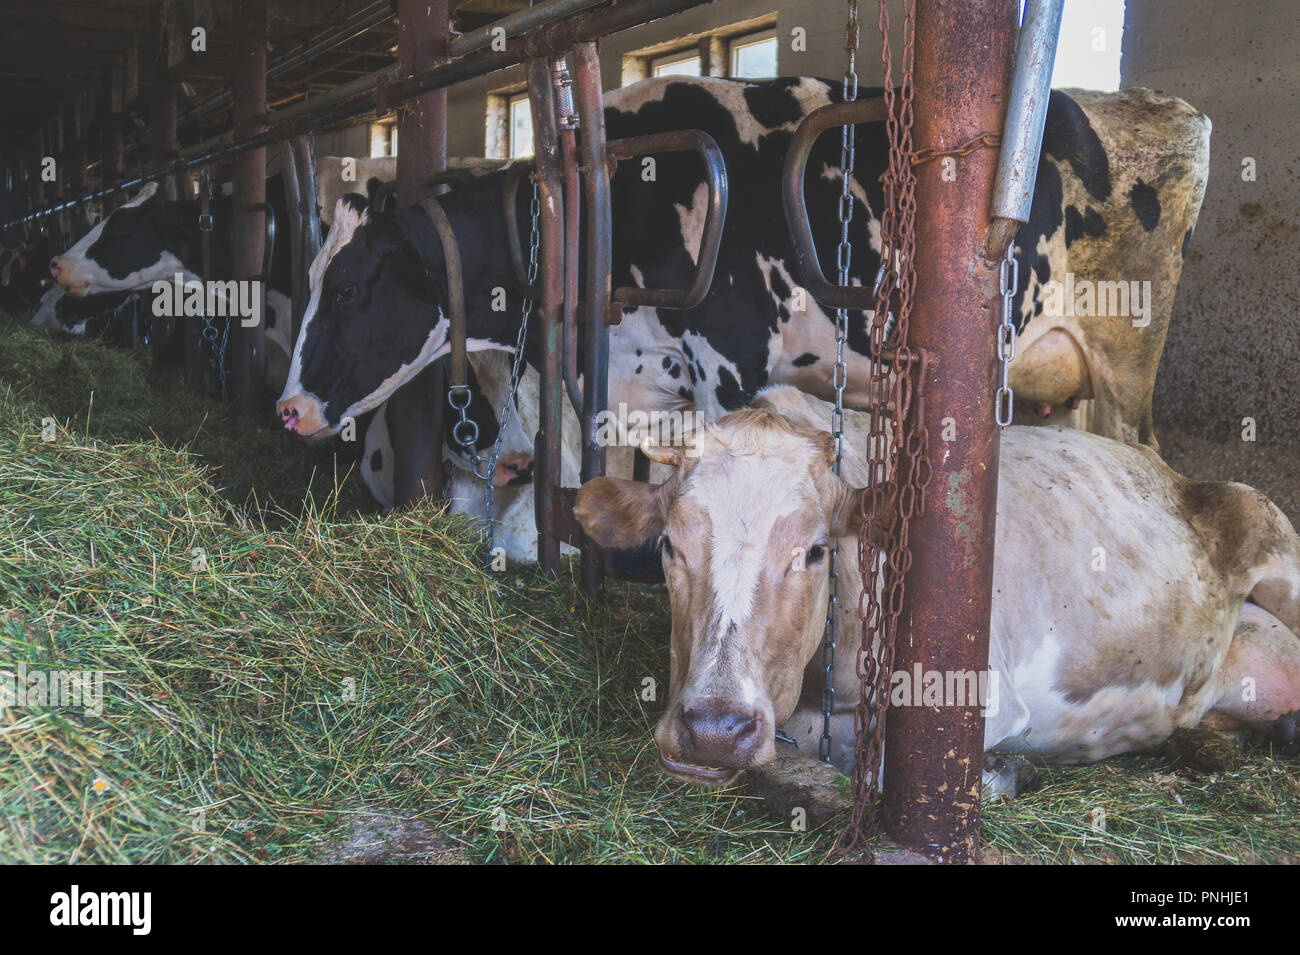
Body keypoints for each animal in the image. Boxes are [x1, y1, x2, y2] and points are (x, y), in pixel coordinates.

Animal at [277, 77, 1208, 459]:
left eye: (350, 287)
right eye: (311, 278)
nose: (284, 410)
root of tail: (1158, 106)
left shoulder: (728, 370)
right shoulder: (629, 383)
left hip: (1125, 371)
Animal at [573, 385, 1300, 787]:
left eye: (814, 551)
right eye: (669, 545)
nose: (715, 730)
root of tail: (1173, 469)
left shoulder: (977, 691)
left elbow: (867, 758)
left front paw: (1001, 772)